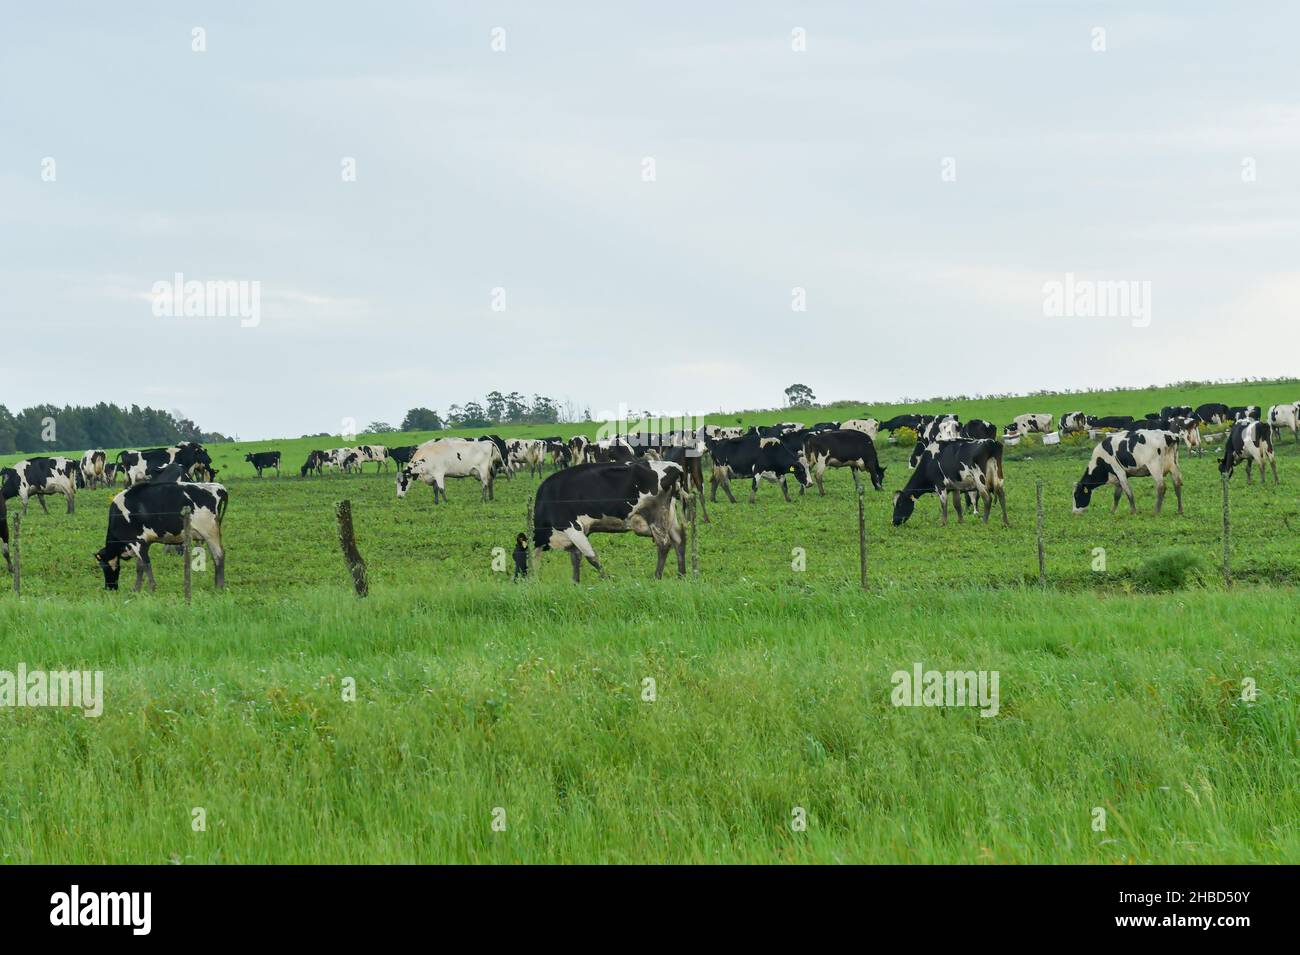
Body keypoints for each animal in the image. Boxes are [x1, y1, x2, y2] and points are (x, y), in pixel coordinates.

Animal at [94, 470, 228, 591]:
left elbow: (146, 564)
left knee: (218, 555)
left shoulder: (136, 542)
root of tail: (218, 487)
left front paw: (151, 588)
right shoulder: (143, 542)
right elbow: (140, 566)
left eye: (104, 566)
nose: (109, 588)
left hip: (210, 532)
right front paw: (136, 589)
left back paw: (219, 587)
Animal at [532, 461, 687, 581]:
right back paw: (681, 576)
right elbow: (576, 558)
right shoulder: (576, 534)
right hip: (670, 516)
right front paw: (575, 583)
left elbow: (591, 558)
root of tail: (673, 466)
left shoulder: (572, 528)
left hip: (655, 516)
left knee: (664, 544)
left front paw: (606, 579)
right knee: (678, 540)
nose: (527, 581)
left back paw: (657, 577)